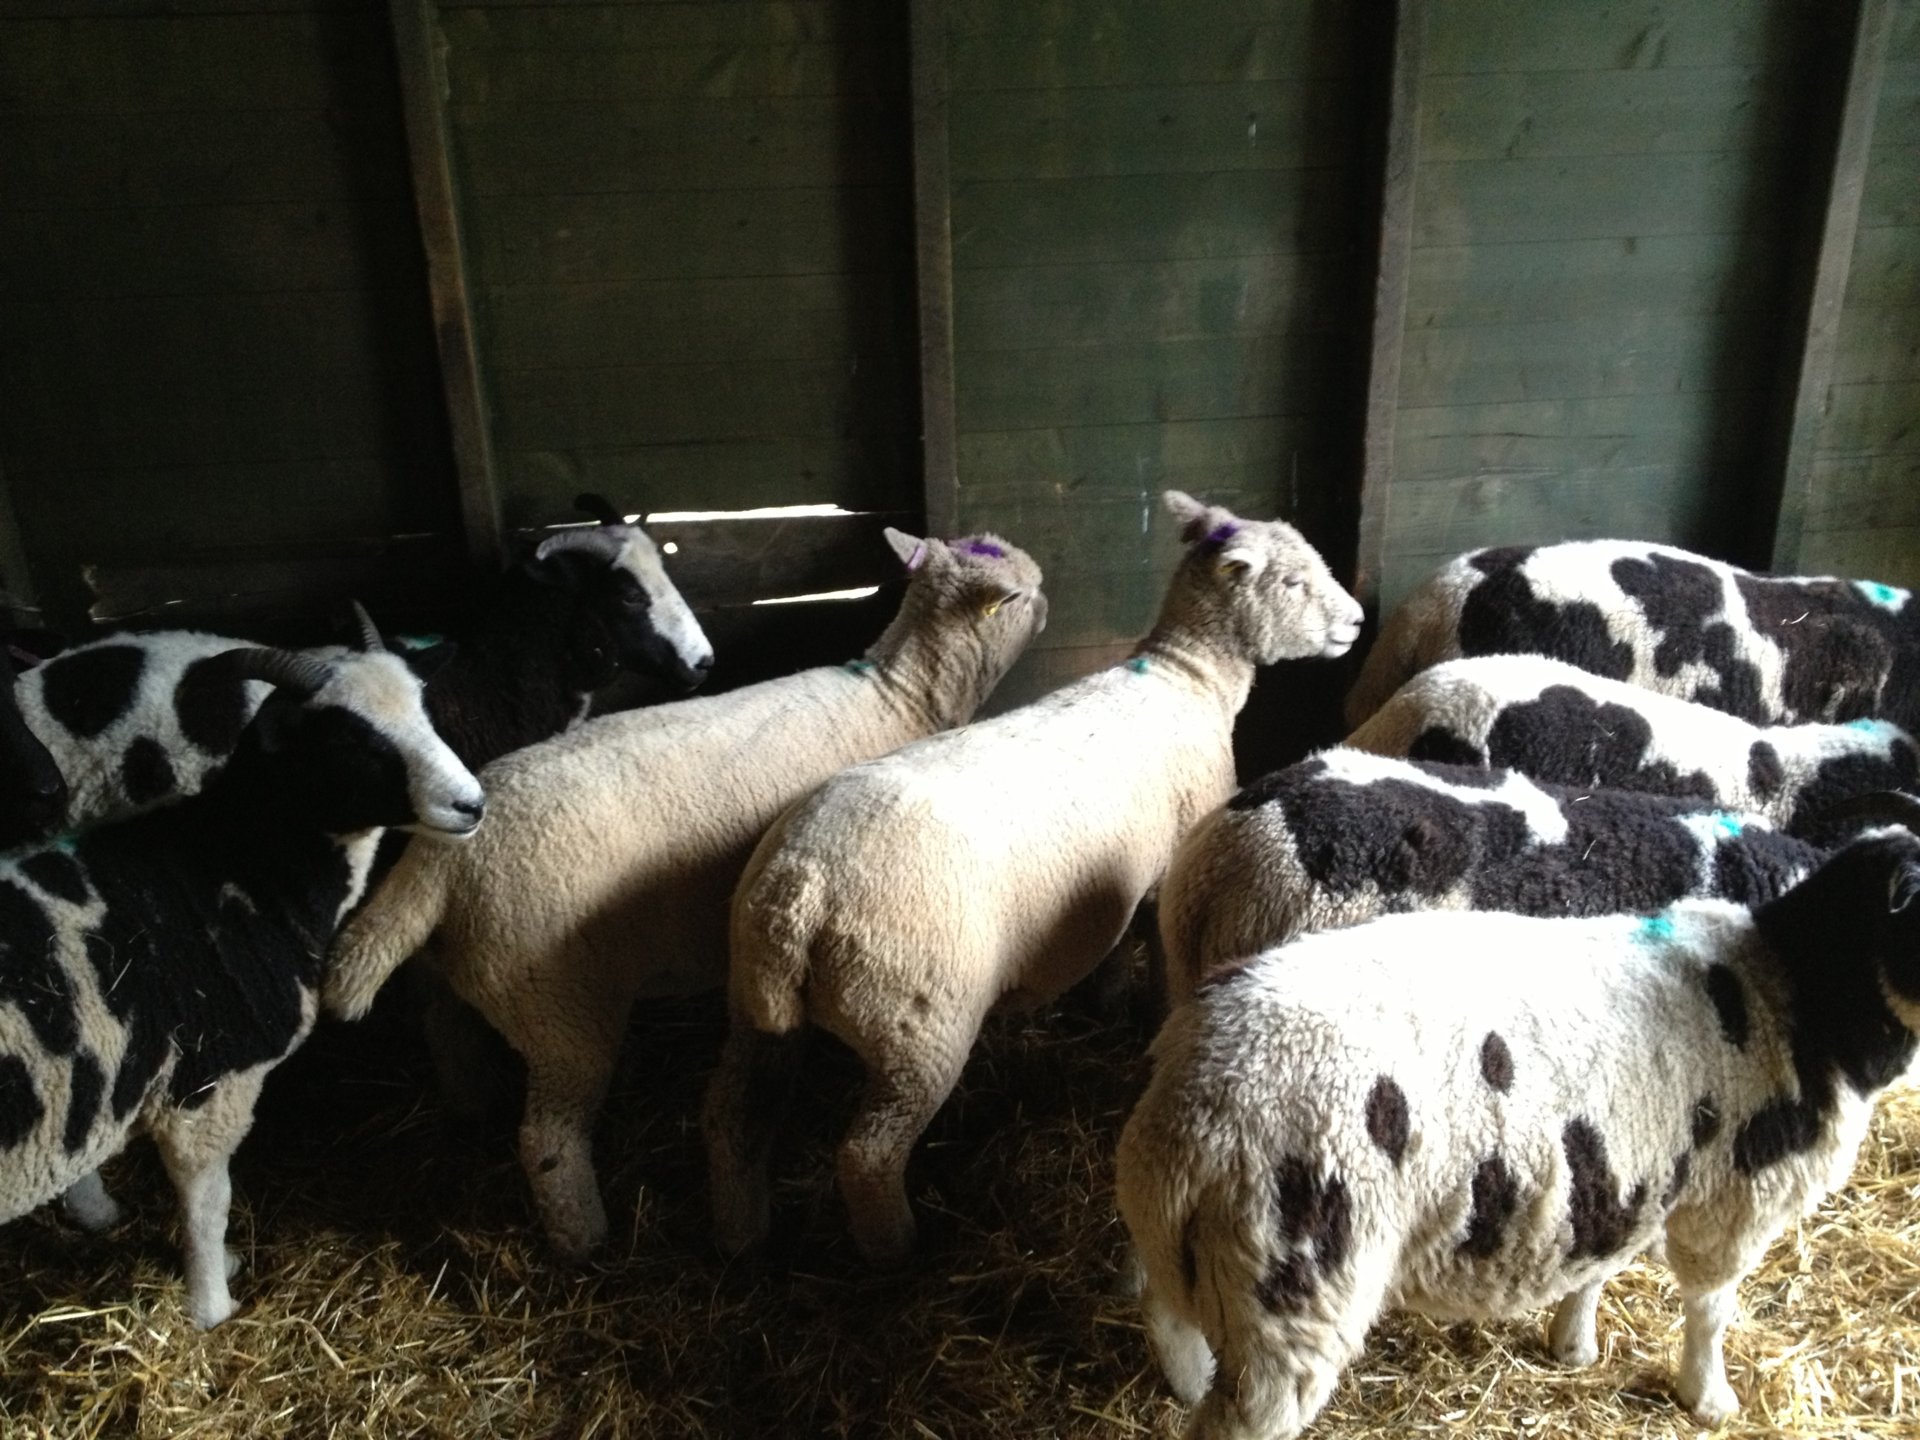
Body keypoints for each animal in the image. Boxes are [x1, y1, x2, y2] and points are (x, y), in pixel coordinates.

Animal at [0, 615, 483, 1327]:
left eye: (425, 706)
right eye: (349, 738)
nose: (471, 804)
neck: (241, 860)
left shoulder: (90, 1073)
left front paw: (96, 1213)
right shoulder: (211, 1083)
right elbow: (210, 1202)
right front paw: (213, 1304)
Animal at [321, 528, 1048, 1259]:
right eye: (1022, 592)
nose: (1046, 604)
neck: (903, 693)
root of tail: (442, 865)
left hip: (460, 968)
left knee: (446, 1029)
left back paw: (472, 1109)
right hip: (557, 1002)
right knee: (549, 1139)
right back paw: (584, 1239)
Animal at [703, 491, 1366, 1264]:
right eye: (1292, 580)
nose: (1358, 620)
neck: (1186, 680)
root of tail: (798, 891)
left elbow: (1109, 947)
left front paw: (1103, 1004)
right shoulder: (1167, 872)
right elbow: (1153, 958)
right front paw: (1142, 1016)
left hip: (755, 1003)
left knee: (731, 1115)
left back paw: (741, 1235)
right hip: (917, 1022)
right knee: (867, 1155)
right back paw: (899, 1250)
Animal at [1116, 828, 1920, 1437]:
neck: (1801, 990)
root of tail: (1194, 1110)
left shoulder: (1624, 1162)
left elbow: (1598, 1255)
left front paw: (1575, 1344)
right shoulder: (1733, 1203)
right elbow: (1710, 1312)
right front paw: (1710, 1399)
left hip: (1194, 1249)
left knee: (1165, 1312)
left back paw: (1187, 1379)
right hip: (1294, 1295)